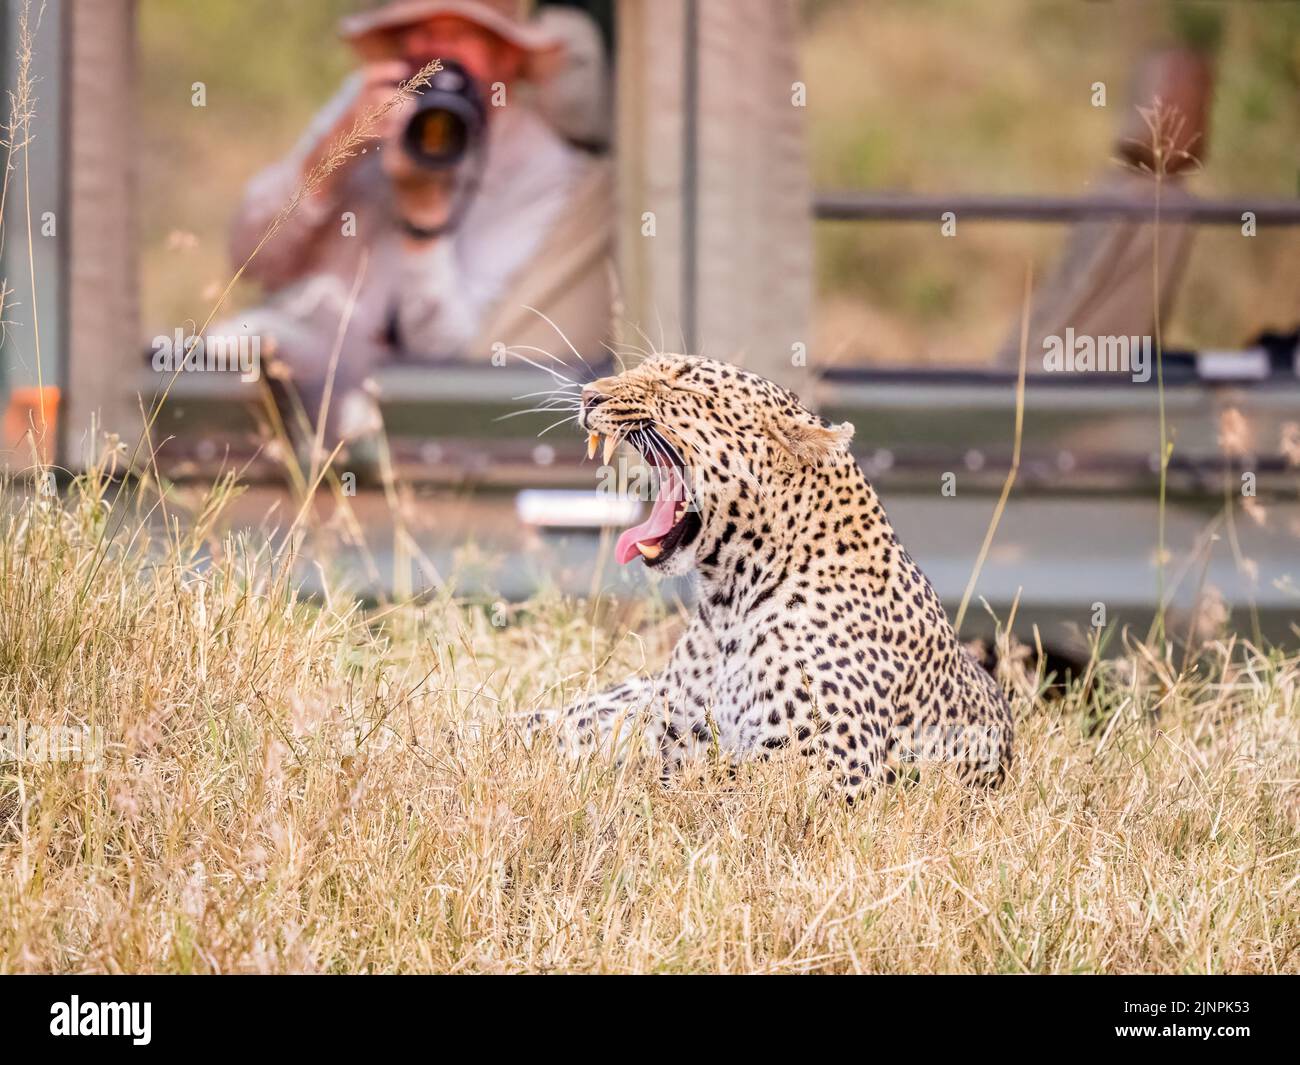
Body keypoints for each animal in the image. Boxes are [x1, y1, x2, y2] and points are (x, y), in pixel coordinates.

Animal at [537, 354, 1013, 800]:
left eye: (680, 385)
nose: (588, 396)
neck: (728, 602)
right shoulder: (671, 728)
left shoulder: (829, 764)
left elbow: (713, 783)